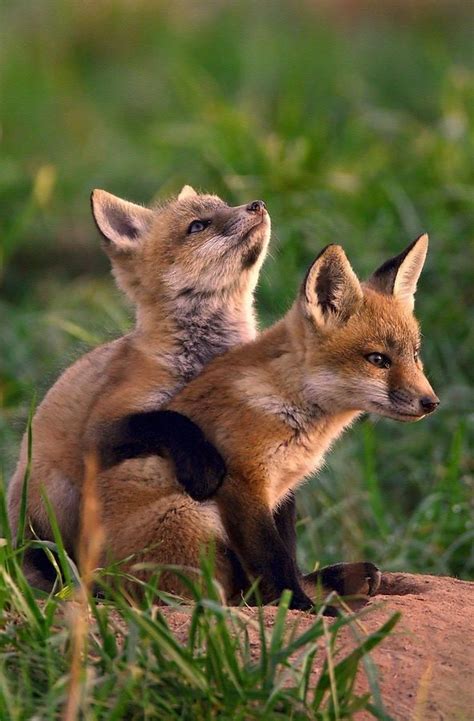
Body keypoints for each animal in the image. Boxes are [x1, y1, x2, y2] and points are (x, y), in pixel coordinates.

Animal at [8, 185, 271, 586]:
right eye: (198, 226)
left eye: (225, 204)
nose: (258, 204)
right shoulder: (100, 432)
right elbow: (171, 421)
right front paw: (203, 466)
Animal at [94, 233, 438, 610]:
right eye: (377, 360)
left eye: (415, 355)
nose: (431, 403)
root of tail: (91, 581)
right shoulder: (243, 481)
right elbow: (274, 561)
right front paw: (301, 607)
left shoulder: (282, 490)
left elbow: (285, 553)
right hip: (186, 511)